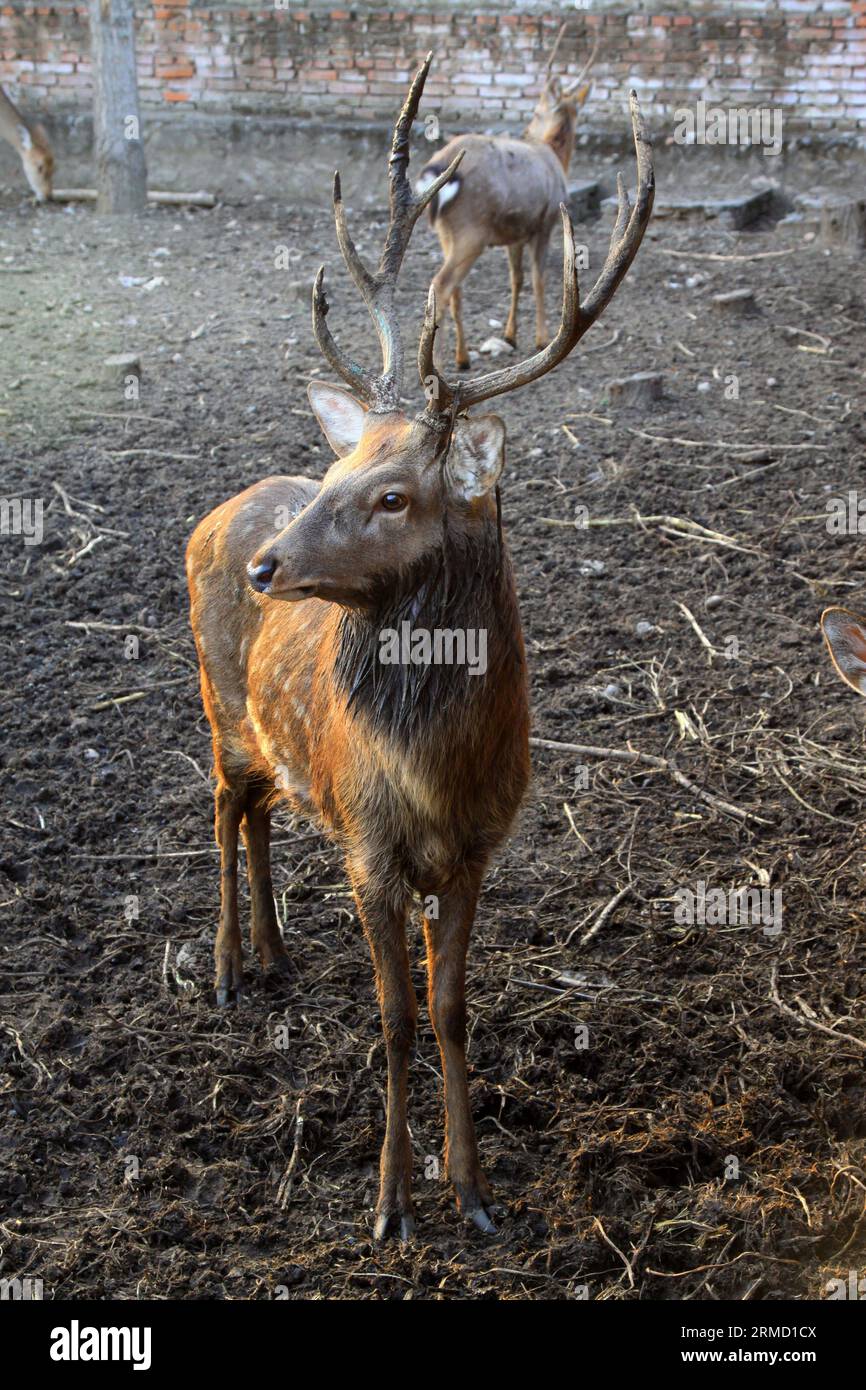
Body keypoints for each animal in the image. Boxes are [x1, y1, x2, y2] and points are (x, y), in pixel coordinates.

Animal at [416, 25, 599, 369]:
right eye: (538, 108)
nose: (526, 129)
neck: (556, 157)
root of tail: (438, 167)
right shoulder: (546, 222)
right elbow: (539, 278)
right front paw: (541, 338)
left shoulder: (515, 233)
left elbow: (517, 279)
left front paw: (510, 335)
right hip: (471, 228)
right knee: (441, 284)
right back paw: (441, 363)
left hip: (447, 231)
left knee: (455, 288)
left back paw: (462, 357)